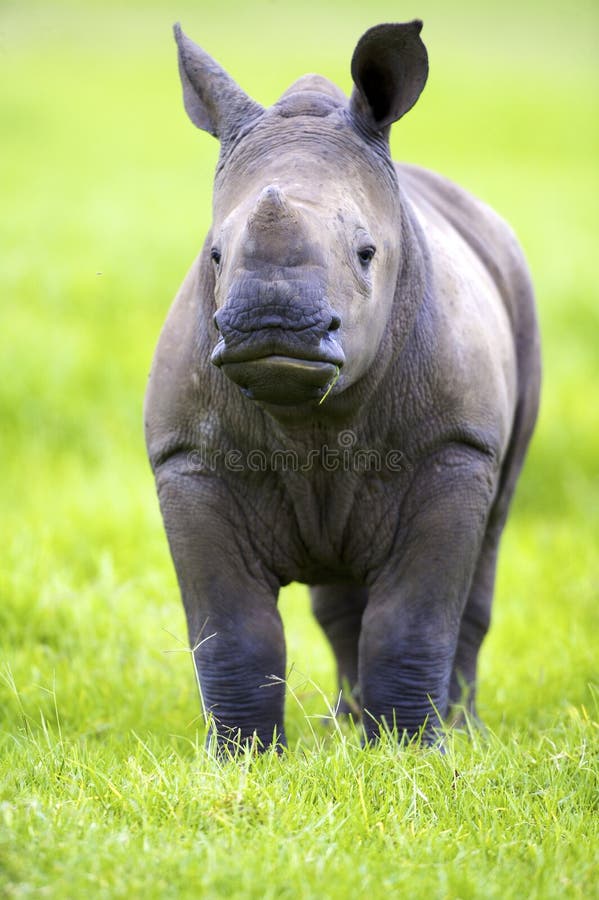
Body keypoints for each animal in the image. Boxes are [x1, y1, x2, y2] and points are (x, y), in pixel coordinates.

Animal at [144, 21, 541, 752]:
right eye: (214, 255)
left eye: (366, 254)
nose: (271, 324)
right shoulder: (188, 456)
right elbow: (231, 632)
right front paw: (242, 759)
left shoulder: (453, 446)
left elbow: (412, 621)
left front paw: (411, 755)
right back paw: (348, 726)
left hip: (517, 291)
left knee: (487, 543)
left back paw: (456, 732)